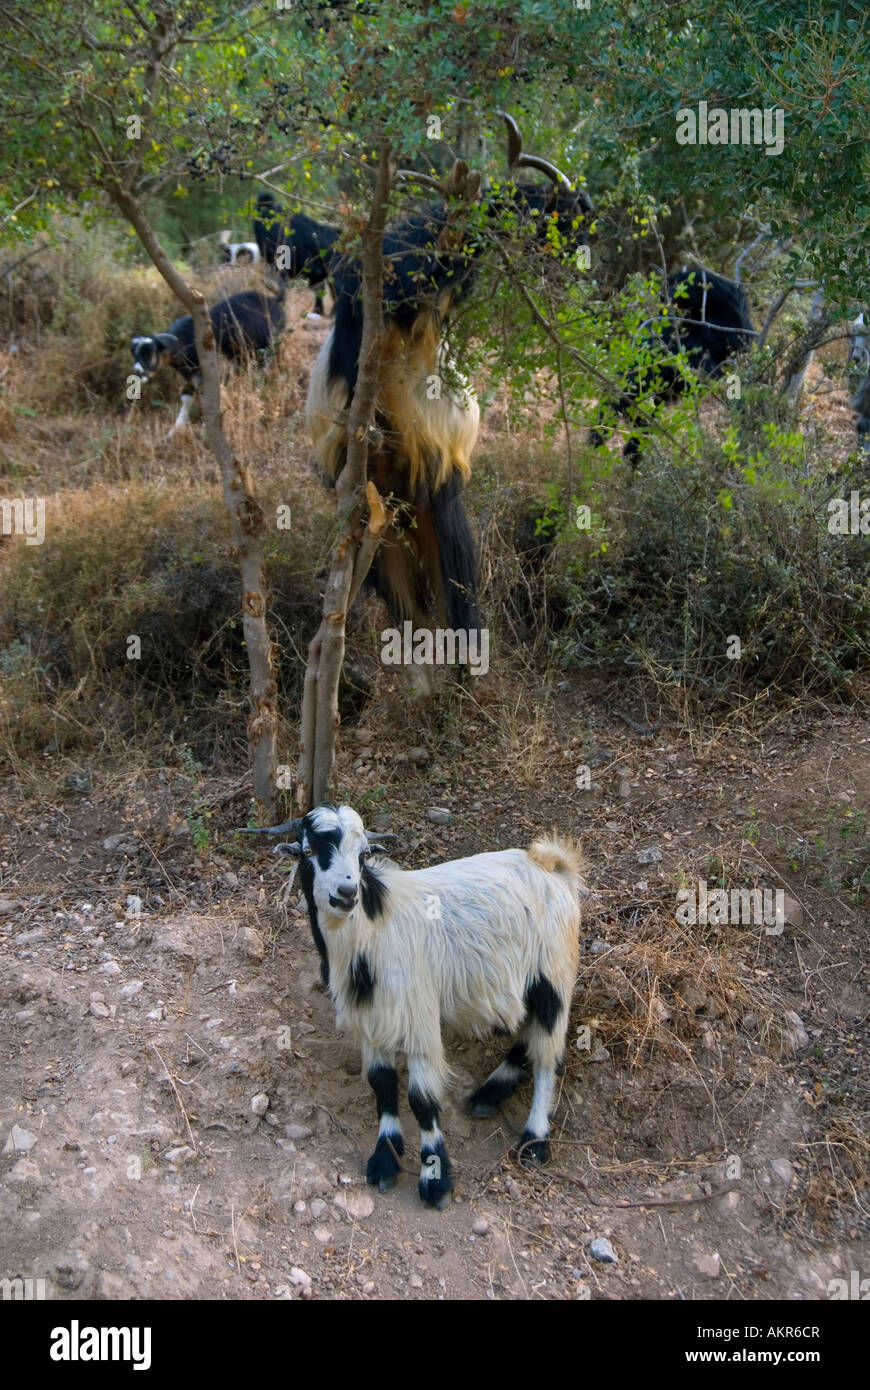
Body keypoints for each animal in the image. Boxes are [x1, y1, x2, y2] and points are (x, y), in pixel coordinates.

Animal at [130, 288, 284, 436]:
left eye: (150, 353)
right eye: (134, 353)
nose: (137, 371)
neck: (185, 343)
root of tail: (274, 299)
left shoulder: (216, 372)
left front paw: (206, 429)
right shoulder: (192, 376)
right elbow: (186, 397)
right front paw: (173, 431)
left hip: (266, 348)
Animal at [240, 804, 583, 1209]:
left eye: (363, 855)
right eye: (308, 851)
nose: (346, 892)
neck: (374, 929)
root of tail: (550, 864)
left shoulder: (419, 1014)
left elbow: (421, 1099)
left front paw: (435, 1177)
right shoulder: (370, 1018)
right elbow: (382, 1083)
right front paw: (385, 1159)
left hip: (553, 973)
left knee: (548, 1053)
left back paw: (533, 1141)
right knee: (531, 1033)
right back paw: (490, 1093)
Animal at [306, 114, 593, 637]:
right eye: (563, 212)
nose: (579, 269)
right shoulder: (367, 281)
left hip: (410, 514)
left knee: (421, 607)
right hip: (418, 510)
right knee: (445, 601)